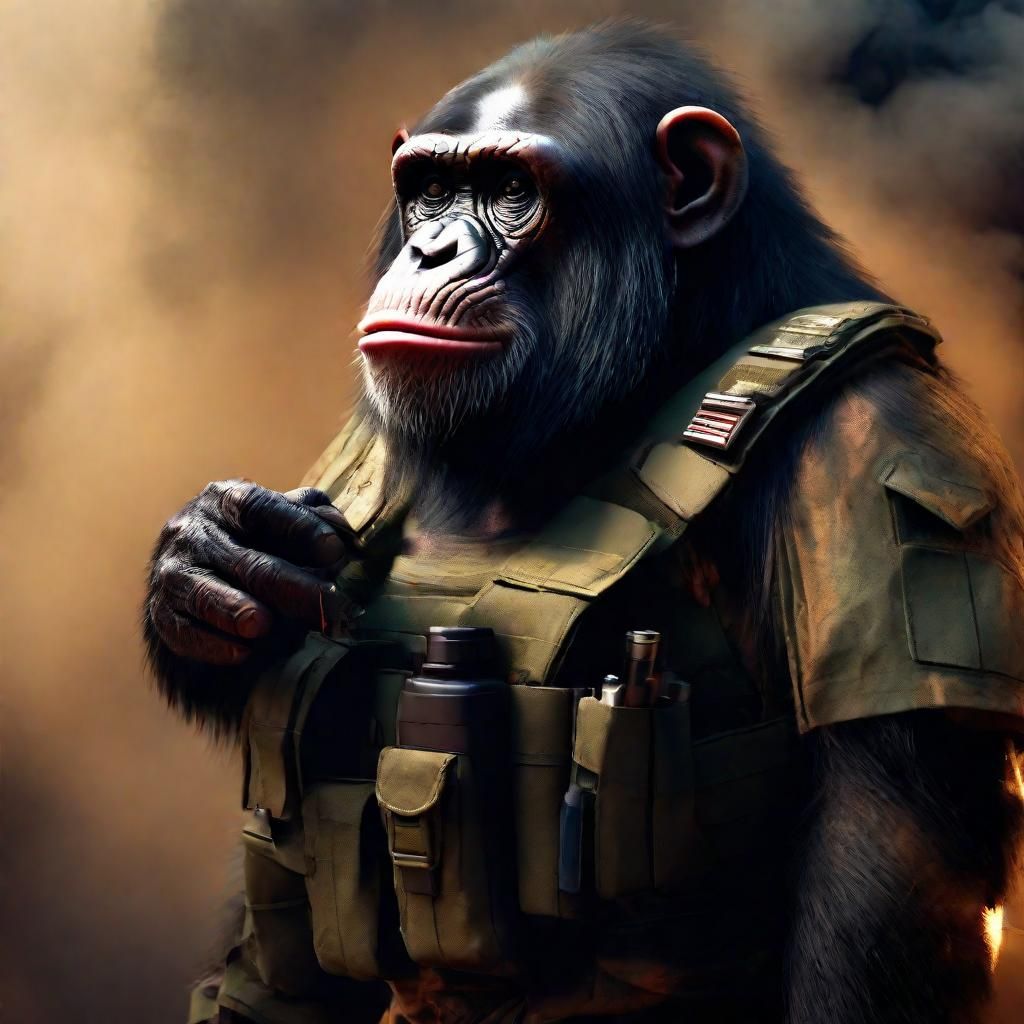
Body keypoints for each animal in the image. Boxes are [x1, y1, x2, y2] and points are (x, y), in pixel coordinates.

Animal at [144, 22, 1024, 1024]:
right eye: (429, 189)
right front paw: (211, 558)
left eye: (511, 191)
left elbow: (886, 838)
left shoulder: (886, 443)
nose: (431, 250)